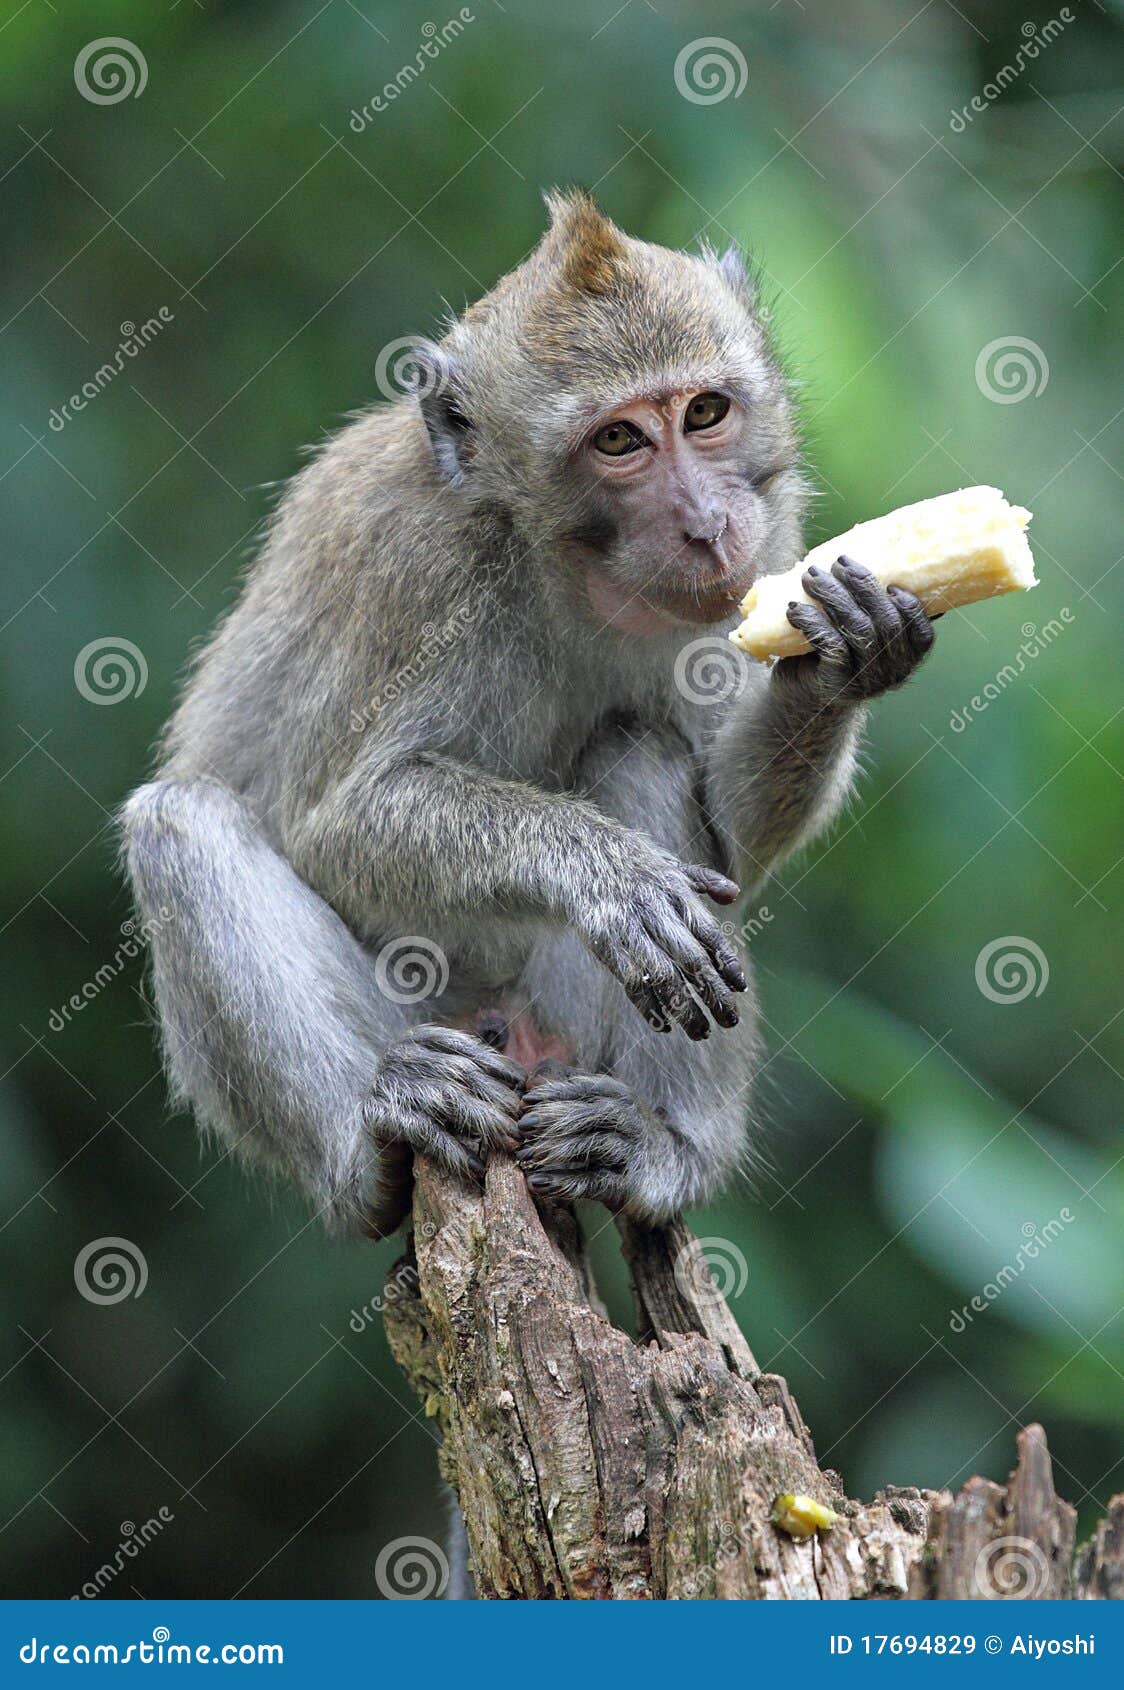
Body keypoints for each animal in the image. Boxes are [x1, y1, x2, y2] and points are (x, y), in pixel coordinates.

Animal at [121, 190, 935, 1242]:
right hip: (416, 1031)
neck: (569, 569)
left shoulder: (774, 536)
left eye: (704, 412)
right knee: (178, 824)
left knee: (640, 751)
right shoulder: (422, 566)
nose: (708, 527)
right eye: (619, 440)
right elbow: (333, 823)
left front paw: (846, 651)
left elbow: (732, 843)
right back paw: (377, 1134)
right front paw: (613, 878)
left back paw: (659, 1147)